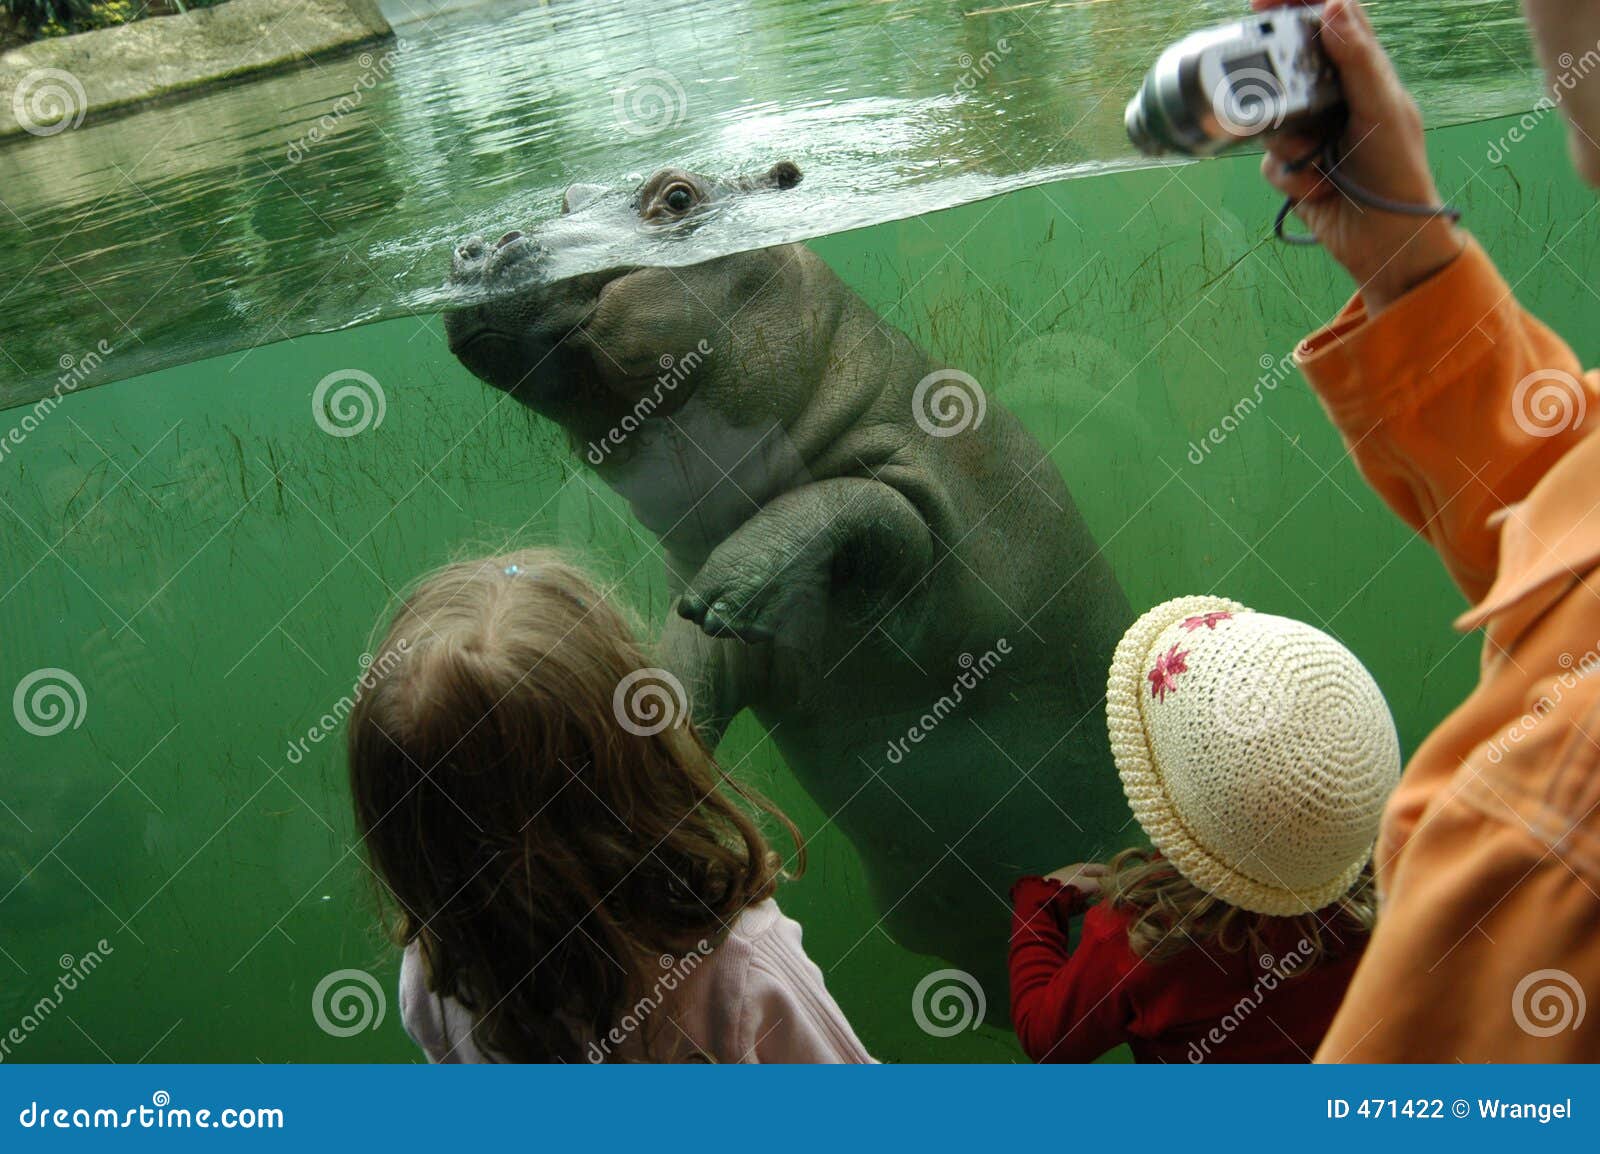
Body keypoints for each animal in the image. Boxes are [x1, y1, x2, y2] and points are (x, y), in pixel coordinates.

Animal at [443, 162, 1133, 1015]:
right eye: (568, 197)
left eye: (678, 197)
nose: (476, 247)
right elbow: (673, 681)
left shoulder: (941, 530)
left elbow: (865, 501)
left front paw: (732, 583)